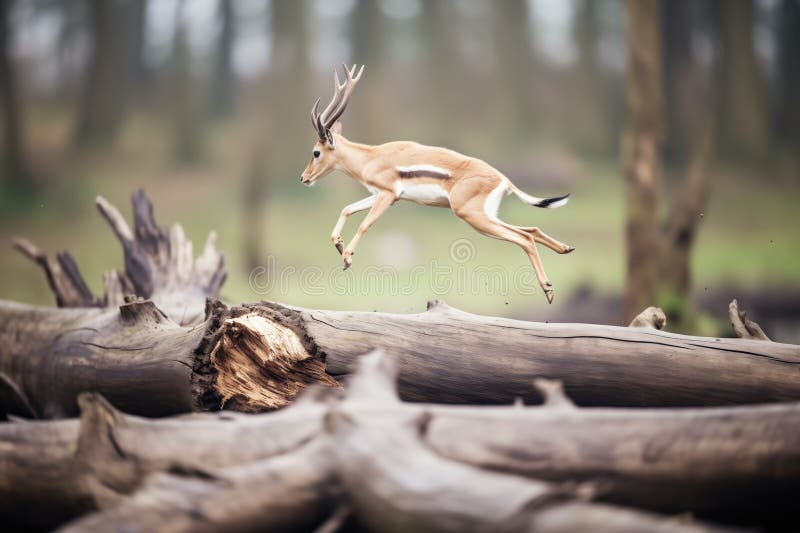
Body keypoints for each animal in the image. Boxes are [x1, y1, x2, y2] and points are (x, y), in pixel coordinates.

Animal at [300, 64, 574, 303]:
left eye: (316, 152)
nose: (304, 178)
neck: (372, 157)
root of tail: (503, 179)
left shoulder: (388, 195)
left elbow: (365, 224)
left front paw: (347, 257)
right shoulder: (378, 194)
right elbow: (347, 208)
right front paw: (338, 244)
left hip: (473, 216)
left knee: (524, 238)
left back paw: (549, 289)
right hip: (486, 216)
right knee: (531, 230)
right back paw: (566, 249)